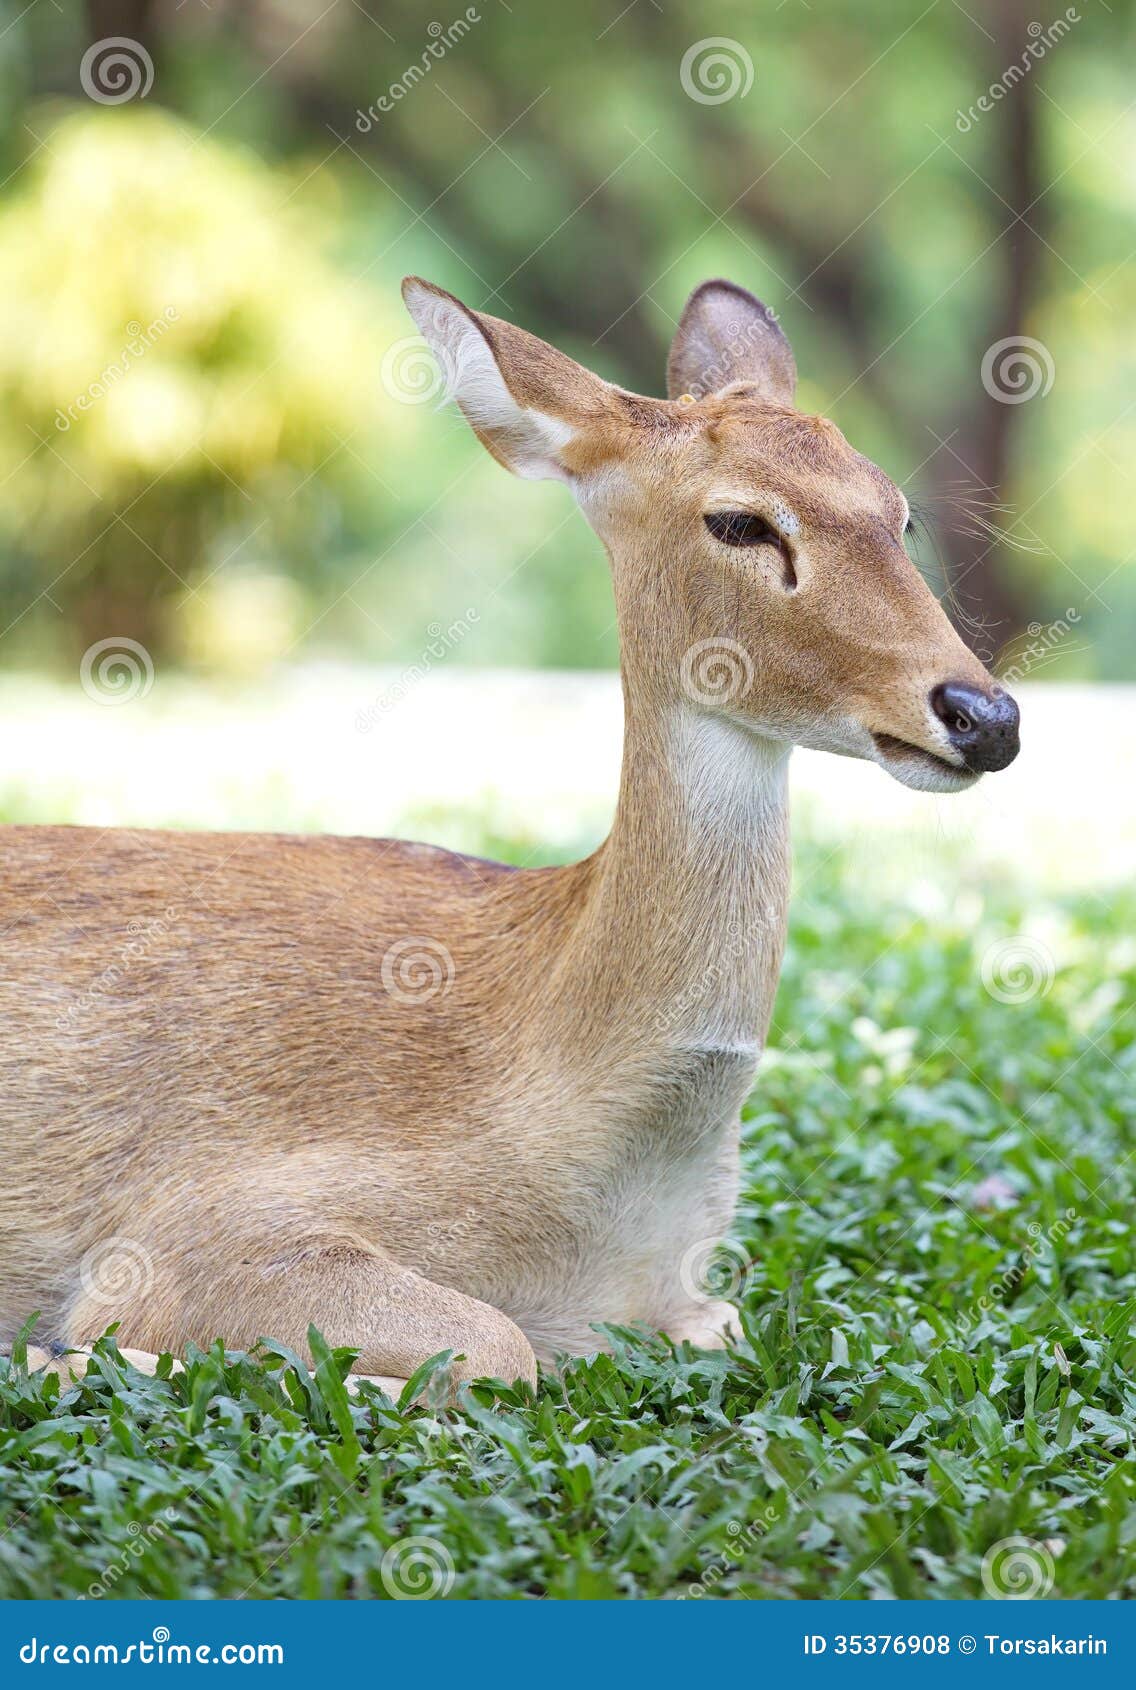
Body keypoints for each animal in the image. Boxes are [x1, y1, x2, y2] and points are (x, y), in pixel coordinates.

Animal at [0, 276, 1020, 1399]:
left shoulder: (698, 1302)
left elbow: (711, 1324)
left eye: (899, 513)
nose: (983, 715)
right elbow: (501, 1347)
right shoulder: (197, 1223)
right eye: (740, 521)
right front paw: (78, 1355)